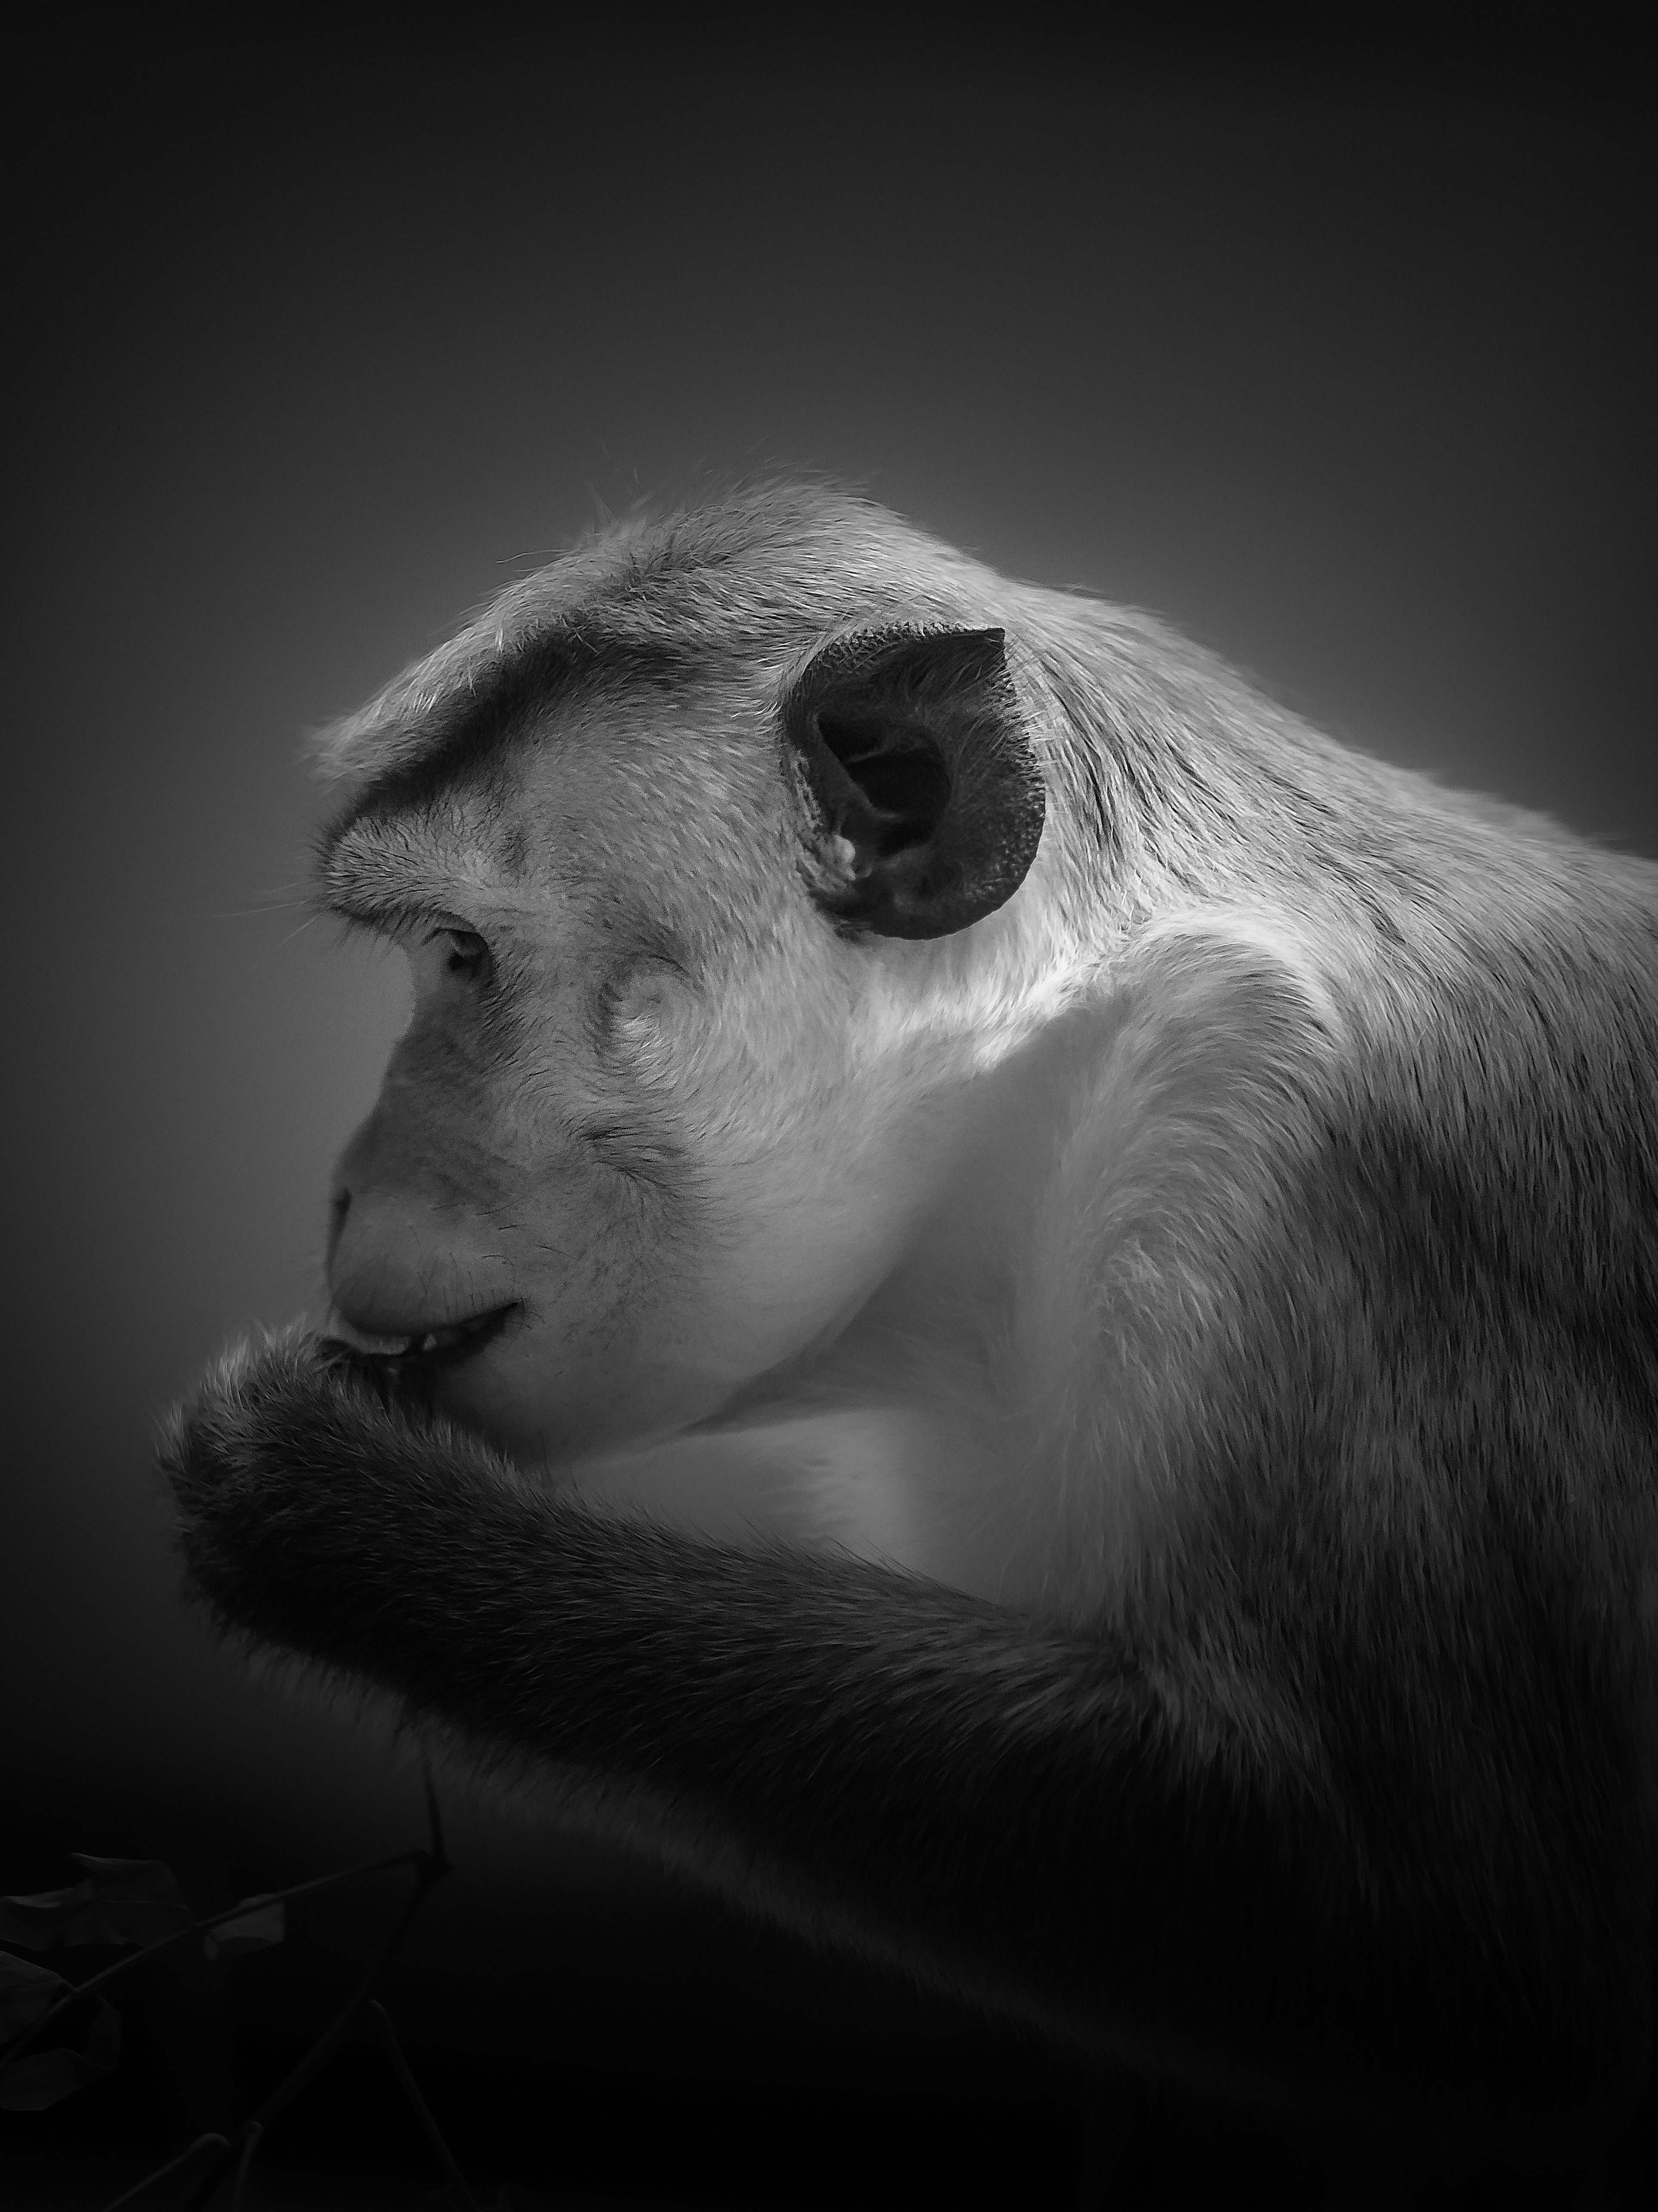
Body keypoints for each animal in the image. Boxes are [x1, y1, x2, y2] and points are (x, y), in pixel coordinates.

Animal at [161, 479, 1658, 2160]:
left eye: (465, 956)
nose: (348, 1180)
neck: (1035, 1074)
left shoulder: (1317, 1152)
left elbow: (1462, 1937)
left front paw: (335, 1513)